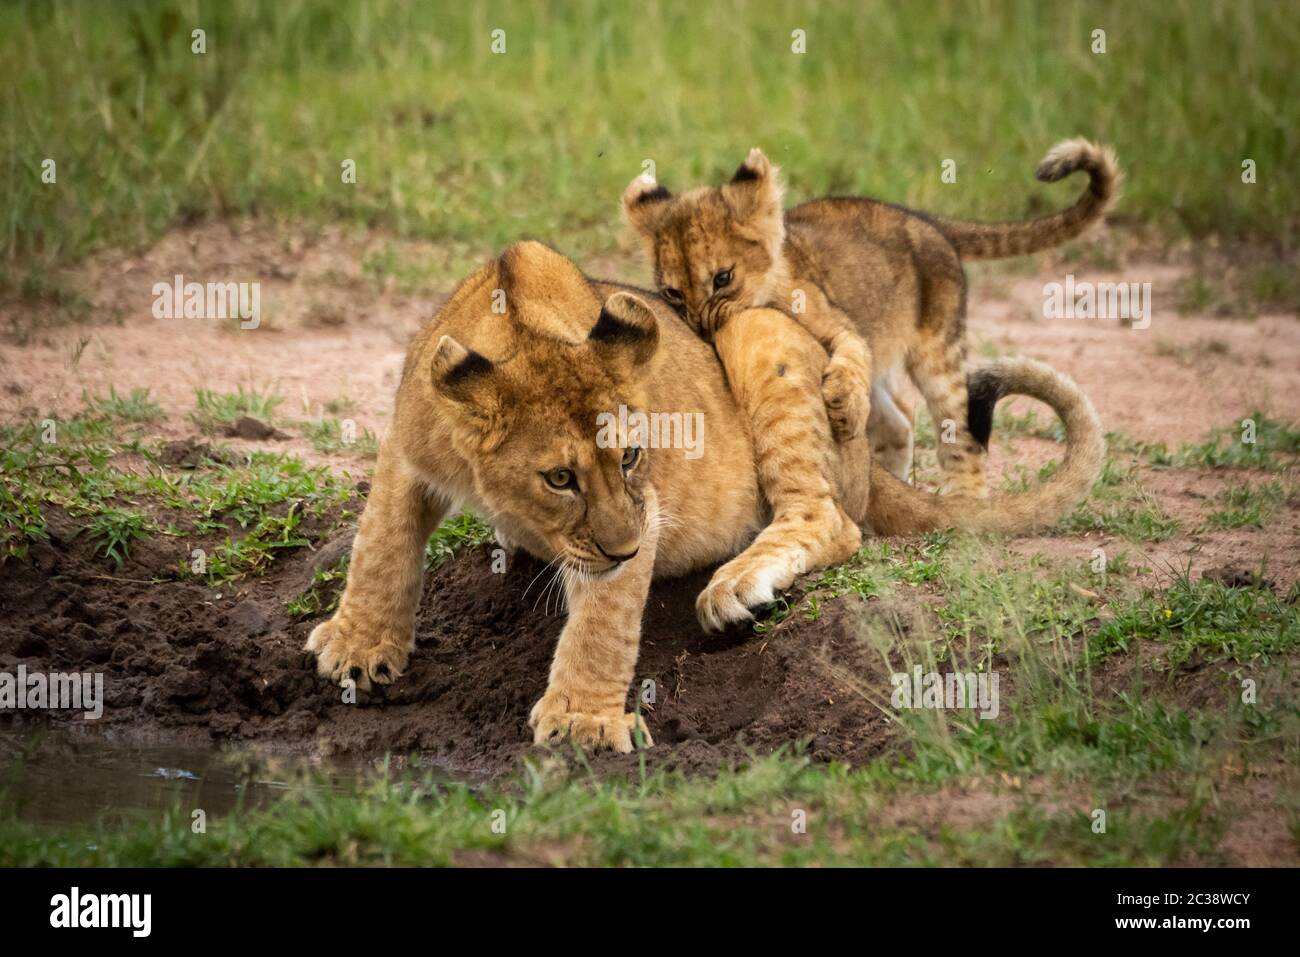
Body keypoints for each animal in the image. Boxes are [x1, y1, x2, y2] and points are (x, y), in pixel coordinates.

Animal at [306, 241, 1103, 752]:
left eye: (631, 456)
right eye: (560, 477)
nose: (625, 548)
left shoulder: (646, 507)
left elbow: (603, 623)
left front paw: (581, 721)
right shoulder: (406, 445)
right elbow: (381, 543)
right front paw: (358, 648)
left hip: (756, 329)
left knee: (831, 520)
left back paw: (736, 586)